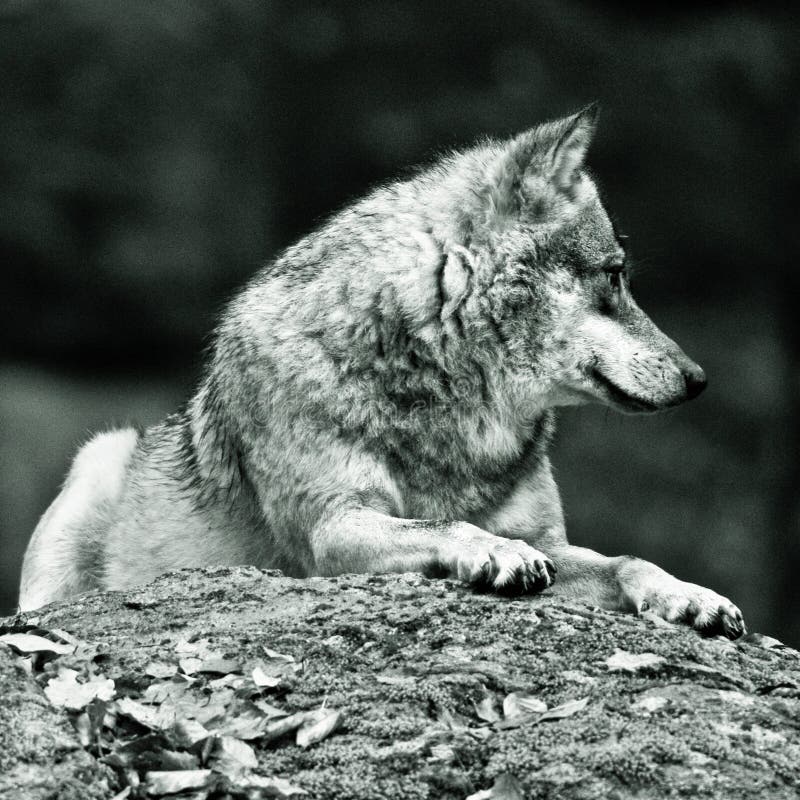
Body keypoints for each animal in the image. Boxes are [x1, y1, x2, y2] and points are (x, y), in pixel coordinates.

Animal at [19, 106, 745, 638]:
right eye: (615, 277)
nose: (700, 378)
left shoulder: (553, 543)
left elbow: (627, 560)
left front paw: (690, 596)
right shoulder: (334, 529)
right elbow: (448, 528)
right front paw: (493, 551)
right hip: (95, 461)